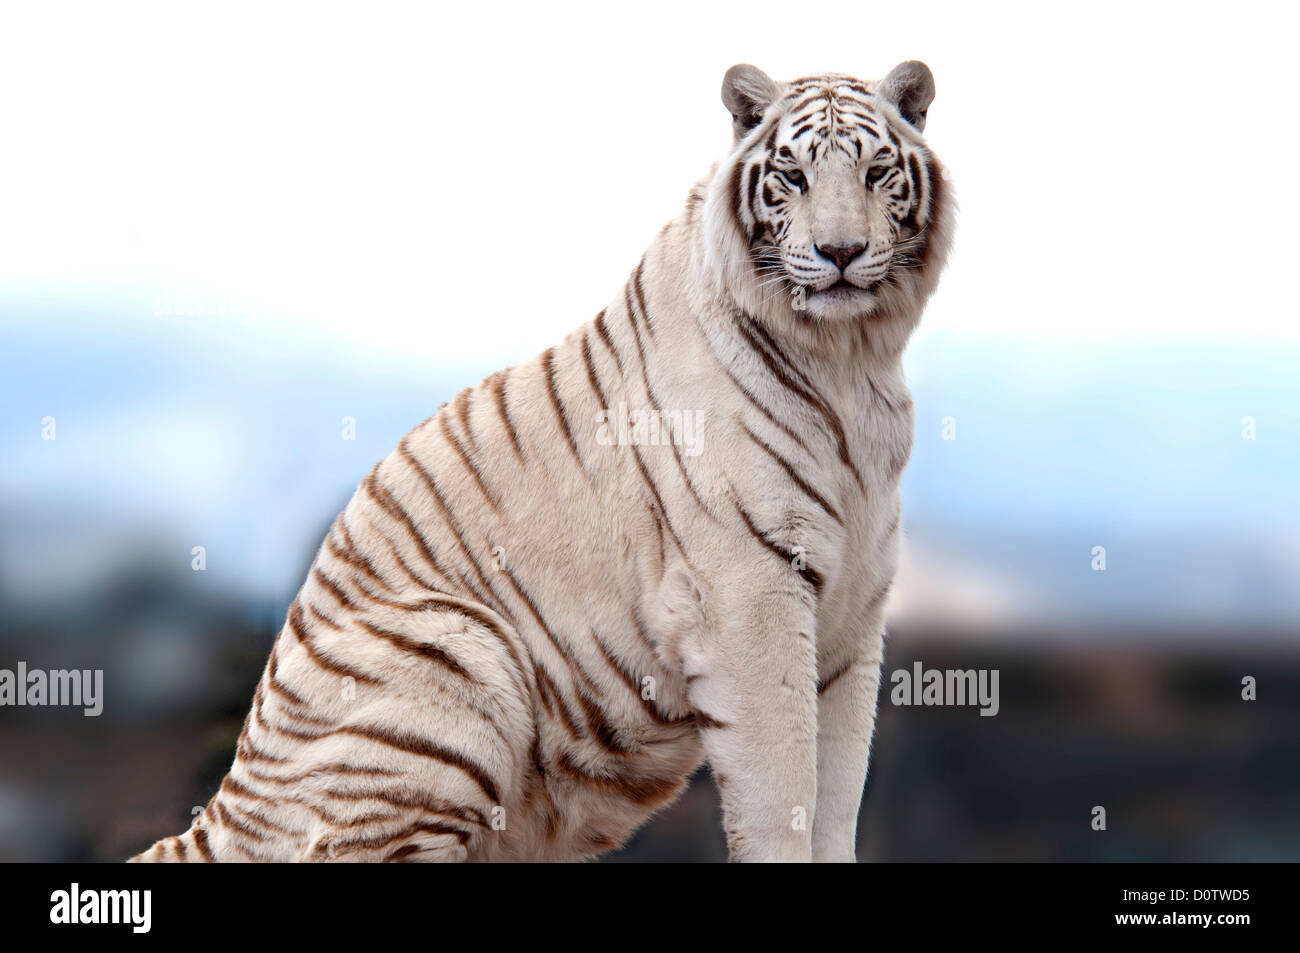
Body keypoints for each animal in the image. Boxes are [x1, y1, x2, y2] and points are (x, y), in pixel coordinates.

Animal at [130, 60, 953, 863]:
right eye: (793, 175)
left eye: (878, 172)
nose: (840, 253)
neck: (850, 360)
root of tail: (227, 810)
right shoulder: (752, 592)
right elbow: (783, 793)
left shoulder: (854, 612)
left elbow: (836, 794)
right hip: (460, 652)